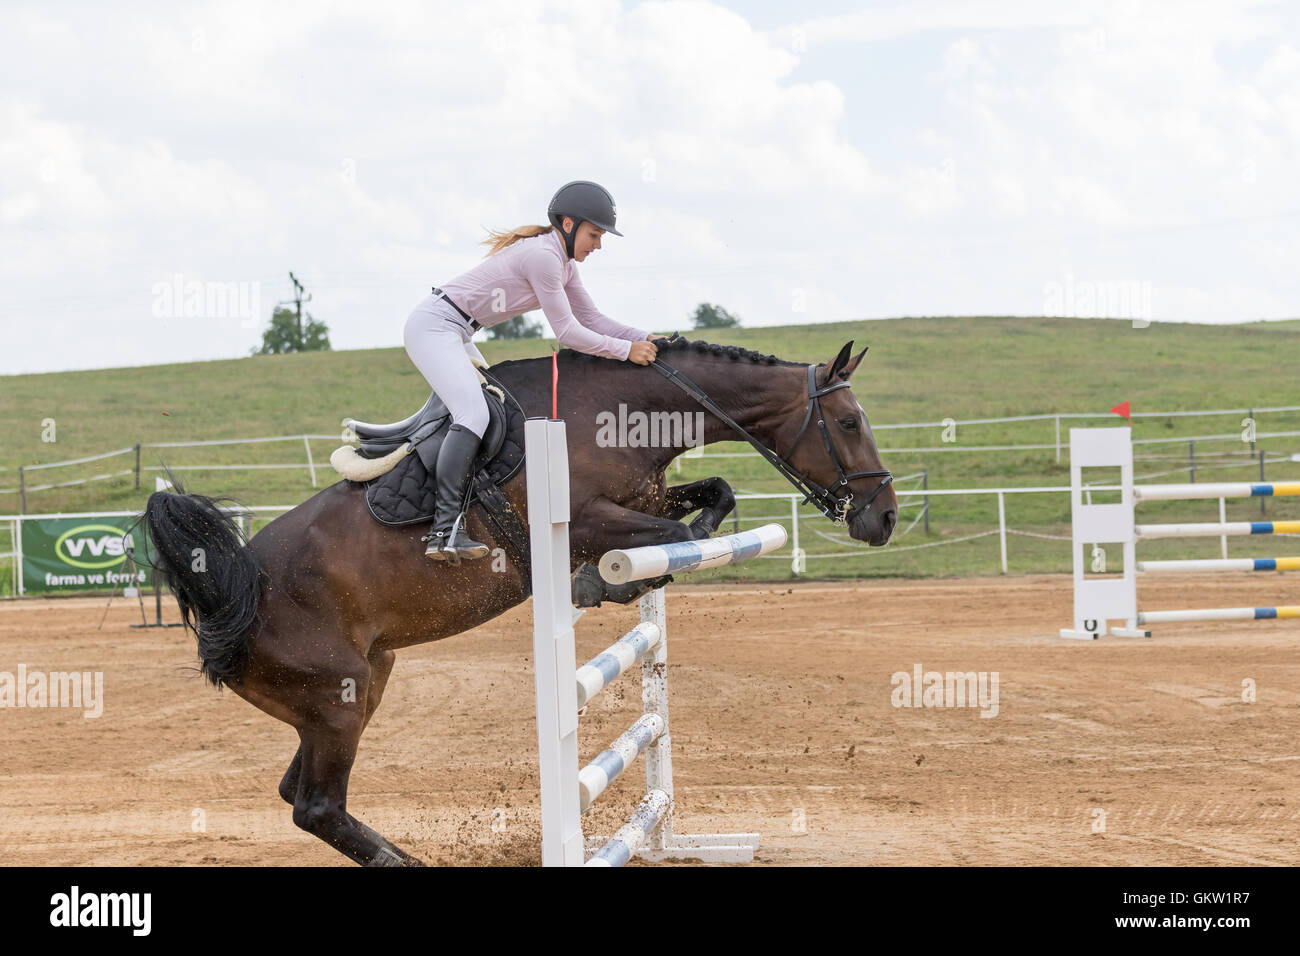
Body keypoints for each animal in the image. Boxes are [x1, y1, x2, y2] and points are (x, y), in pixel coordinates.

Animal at [141, 337, 897, 865]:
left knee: (299, 795)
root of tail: (233, 596)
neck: (613, 414)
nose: (883, 518)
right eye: (848, 422)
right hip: (338, 696)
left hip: (359, 685)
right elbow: (675, 538)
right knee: (317, 808)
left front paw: (626, 578)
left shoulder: (645, 502)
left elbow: (714, 499)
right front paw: (607, 581)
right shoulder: (588, 520)